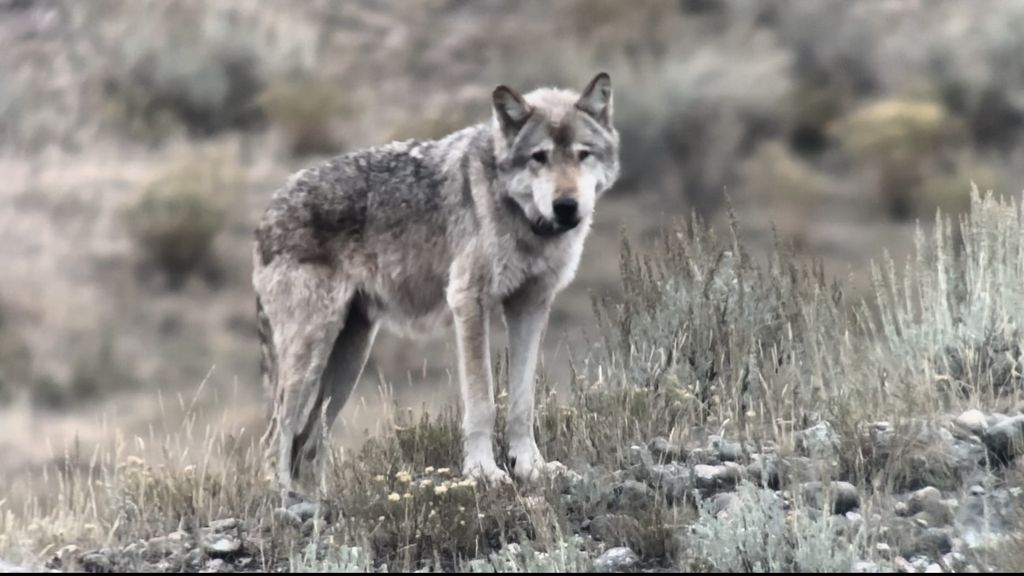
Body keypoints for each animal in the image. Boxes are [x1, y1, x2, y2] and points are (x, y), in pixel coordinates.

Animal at [253, 73, 620, 501]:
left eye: (583, 154)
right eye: (539, 156)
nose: (566, 206)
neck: (523, 220)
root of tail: (267, 211)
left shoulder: (531, 305)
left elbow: (523, 402)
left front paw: (531, 468)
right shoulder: (469, 302)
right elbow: (482, 400)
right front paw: (483, 471)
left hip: (350, 358)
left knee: (308, 441)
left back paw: (318, 500)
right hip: (309, 354)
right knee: (274, 436)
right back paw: (281, 500)